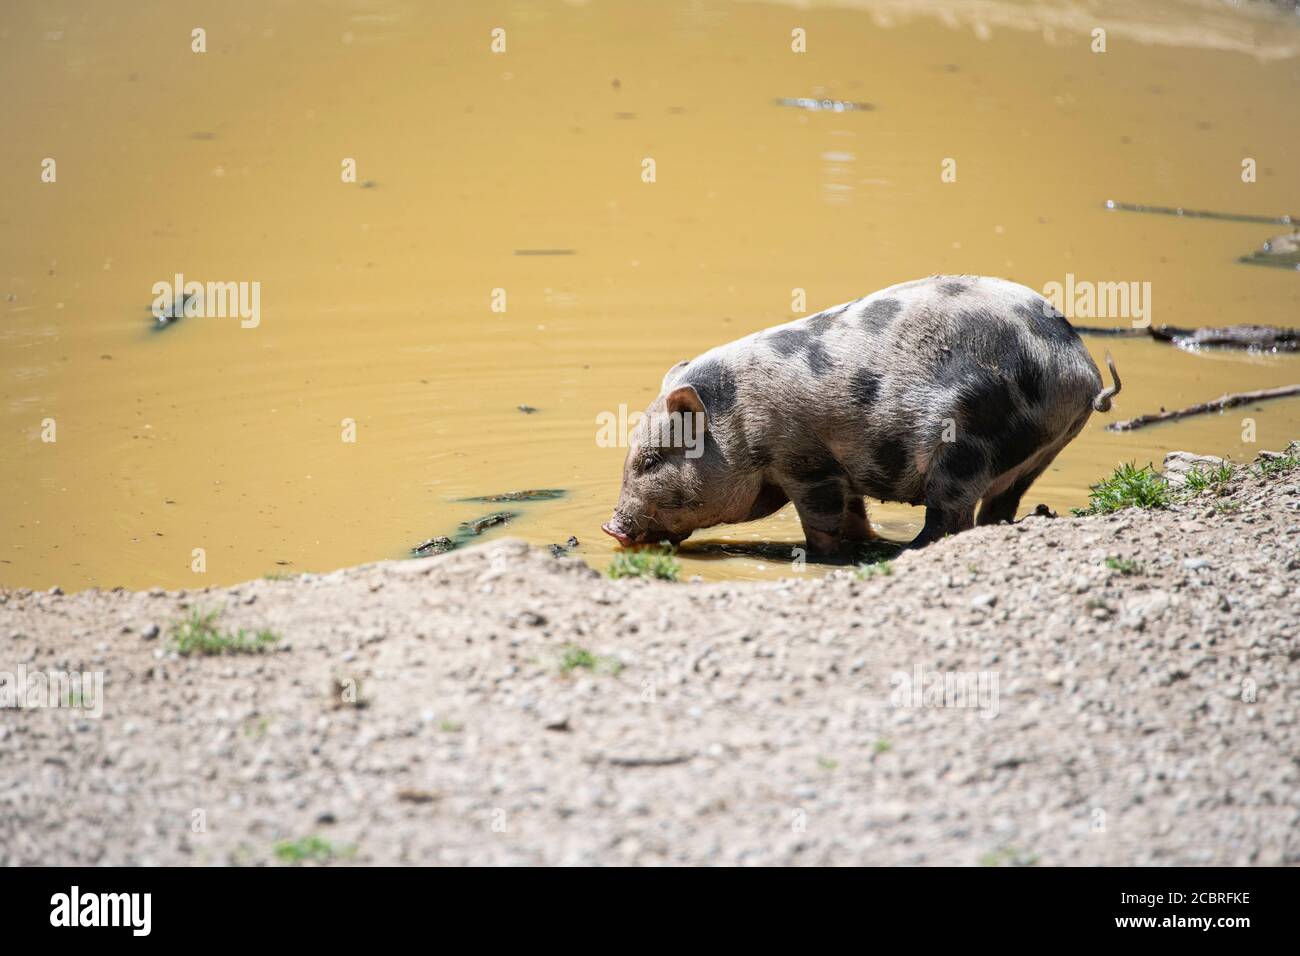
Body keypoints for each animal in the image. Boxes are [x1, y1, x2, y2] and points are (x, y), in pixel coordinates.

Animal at [602, 274, 1120, 555]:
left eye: (651, 460)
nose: (611, 526)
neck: (741, 424)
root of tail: (1079, 366)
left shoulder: (807, 464)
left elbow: (823, 520)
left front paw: (828, 555)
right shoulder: (840, 467)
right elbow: (854, 513)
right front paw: (863, 539)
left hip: (970, 438)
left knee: (949, 516)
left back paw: (905, 551)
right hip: (1037, 453)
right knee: (998, 507)